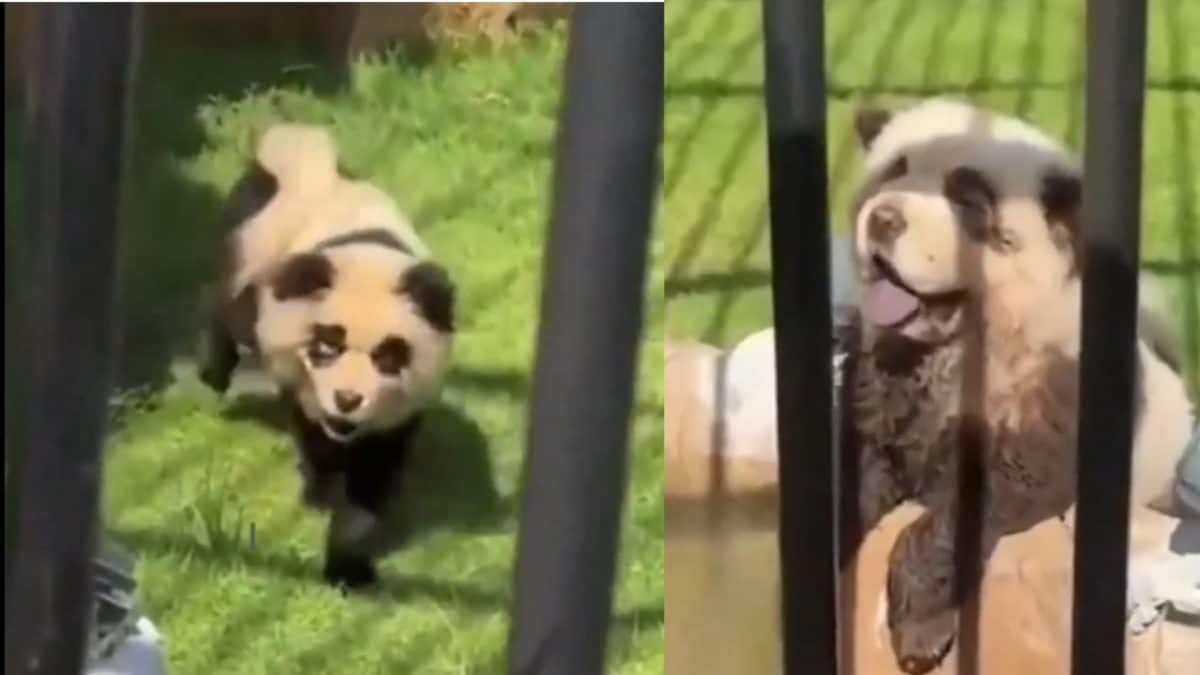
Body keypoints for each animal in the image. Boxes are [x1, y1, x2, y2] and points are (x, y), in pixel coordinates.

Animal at [198, 123, 456, 589]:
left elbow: (371, 476)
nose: (347, 400)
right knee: (228, 306)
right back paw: (216, 369)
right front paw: (319, 490)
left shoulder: (399, 411)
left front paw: (348, 561)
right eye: (328, 344)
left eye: (388, 357)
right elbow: (309, 429)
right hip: (254, 247)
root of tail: (298, 142)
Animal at [838, 99, 1194, 673]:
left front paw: (919, 630)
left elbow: (950, 520)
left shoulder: (1045, 420)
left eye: (967, 200)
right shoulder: (881, 401)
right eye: (893, 171)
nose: (883, 219)